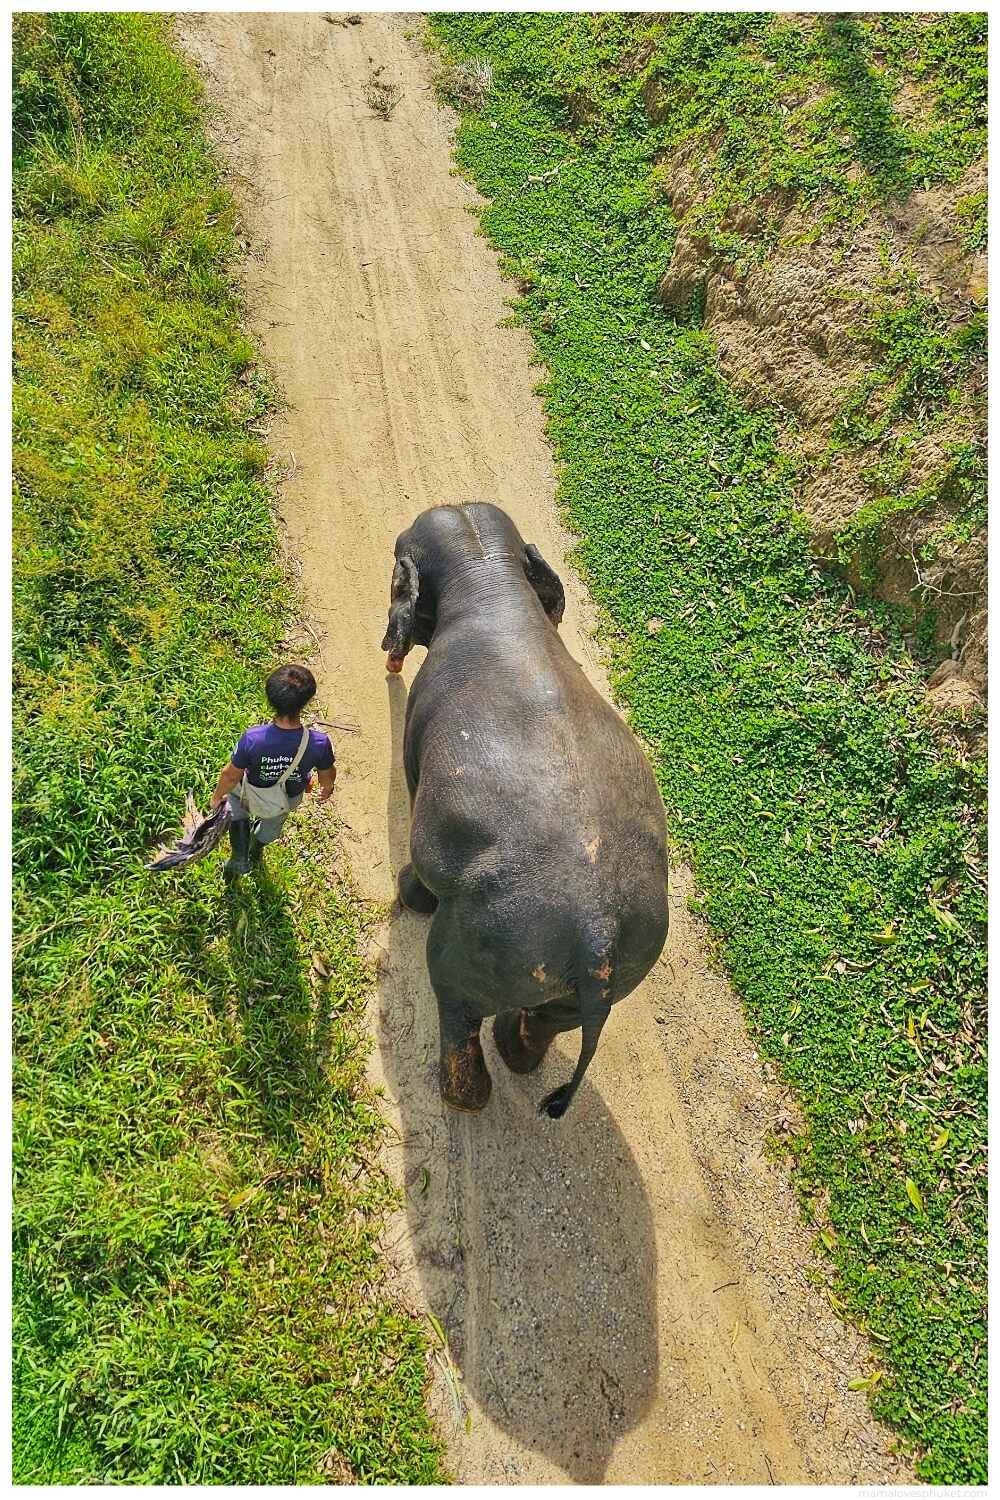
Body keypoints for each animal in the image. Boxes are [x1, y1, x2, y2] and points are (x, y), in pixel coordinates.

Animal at [381, 502, 670, 1118]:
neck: (489, 580)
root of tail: (596, 933)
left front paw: (408, 897)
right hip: (610, 973)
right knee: (542, 1025)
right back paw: (516, 1051)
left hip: (474, 950)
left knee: (457, 1015)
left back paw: (462, 1096)